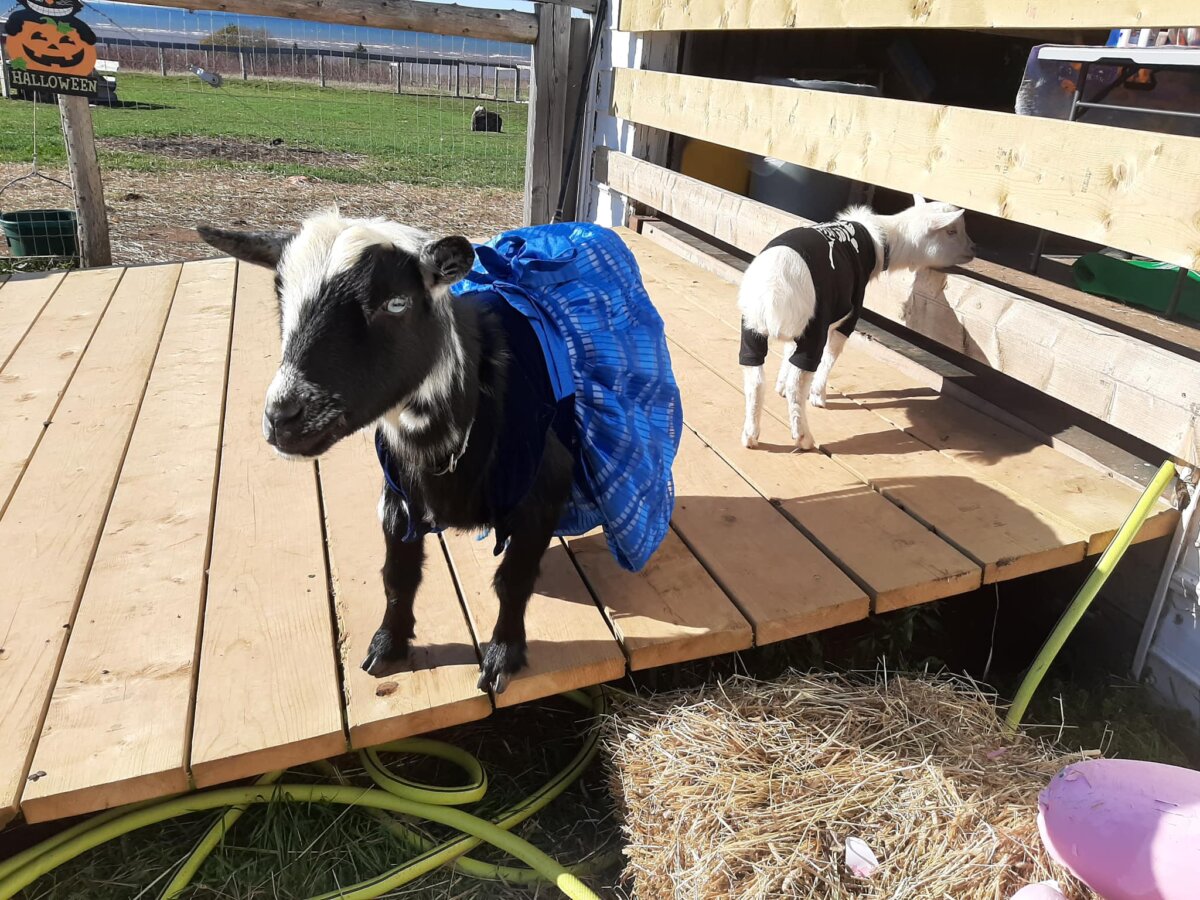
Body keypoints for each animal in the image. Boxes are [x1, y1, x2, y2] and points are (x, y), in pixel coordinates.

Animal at [738, 200, 975, 450]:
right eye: (952, 231)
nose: (974, 248)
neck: (882, 240)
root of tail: (774, 287)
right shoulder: (850, 308)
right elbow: (830, 356)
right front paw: (817, 396)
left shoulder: (800, 327)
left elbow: (787, 352)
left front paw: (780, 385)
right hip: (814, 325)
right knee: (798, 382)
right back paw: (804, 437)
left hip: (752, 326)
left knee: (754, 380)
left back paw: (750, 435)